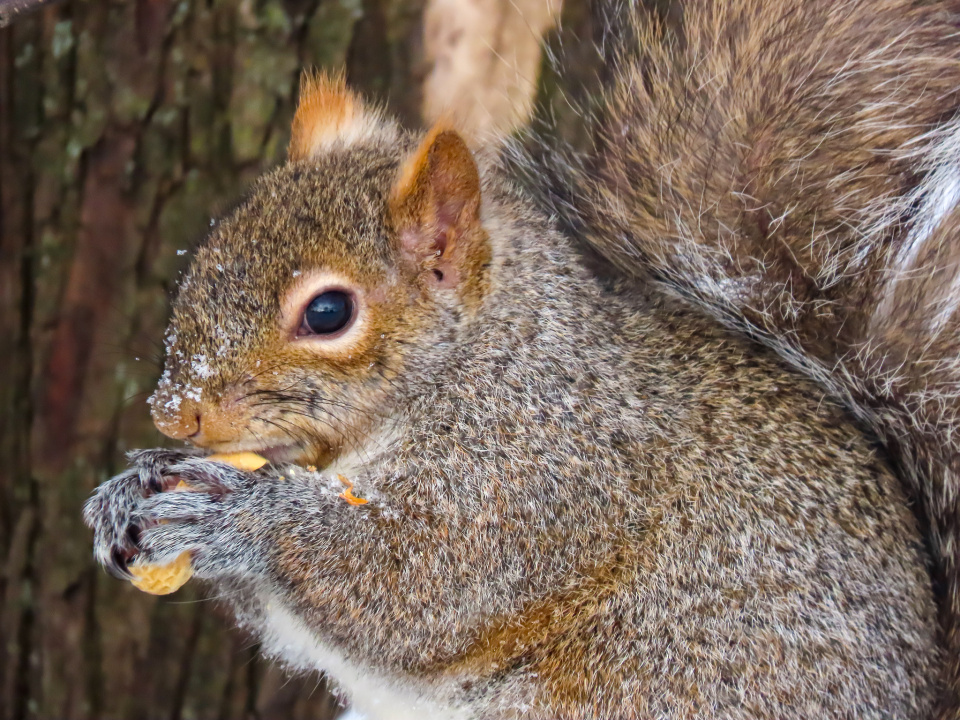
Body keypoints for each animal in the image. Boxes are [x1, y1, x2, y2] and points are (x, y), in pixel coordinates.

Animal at [82, 0, 960, 717]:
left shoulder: (538, 477)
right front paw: (130, 491)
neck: (485, 360)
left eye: (328, 313)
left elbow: (414, 586)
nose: (175, 413)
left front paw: (237, 513)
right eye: (206, 252)